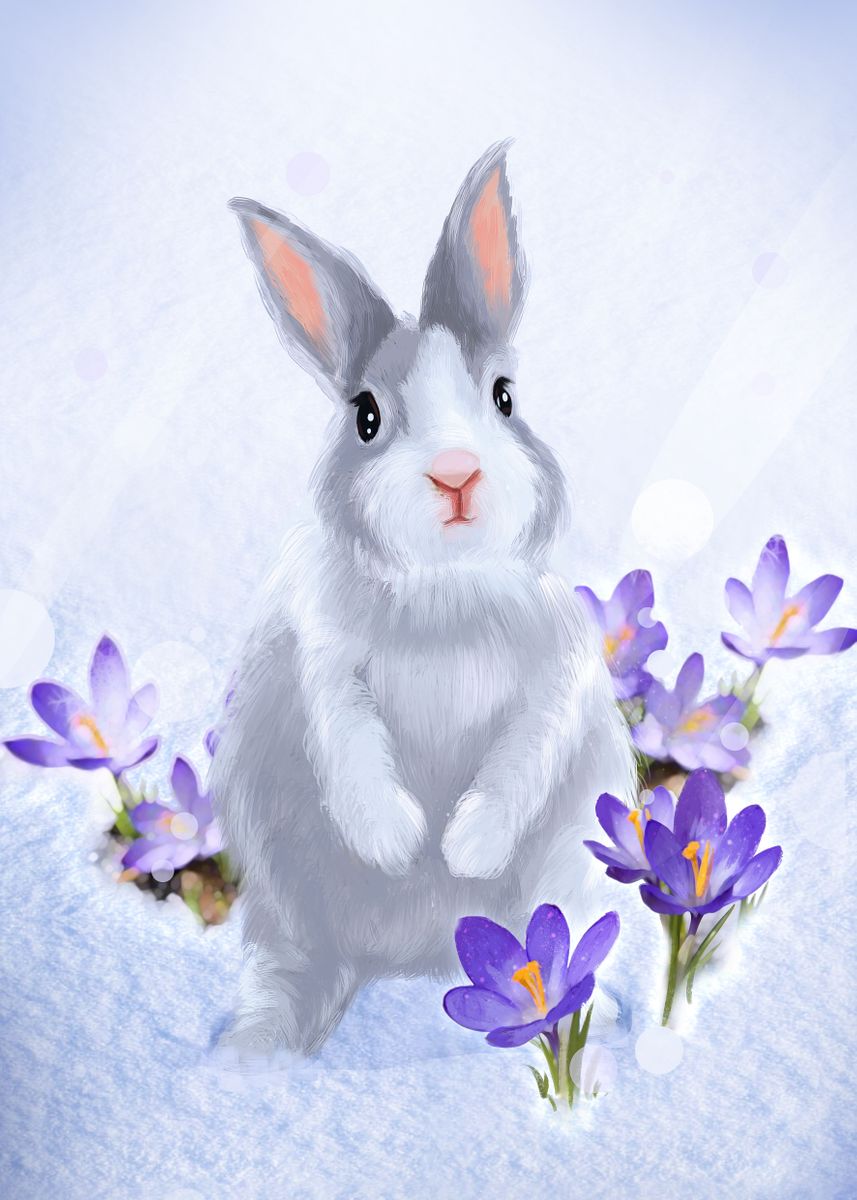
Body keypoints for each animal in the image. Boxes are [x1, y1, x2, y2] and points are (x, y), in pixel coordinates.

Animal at [208, 141, 635, 1065]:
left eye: (504, 397)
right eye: (365, 416)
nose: (455, 474)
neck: (445, 591)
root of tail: (412, 959)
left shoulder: (558, 666)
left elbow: (526, 748)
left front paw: (465, 846)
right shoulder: (325, 661)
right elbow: (350, 743)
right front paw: (397, 841)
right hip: (286, 898)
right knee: (293, 970)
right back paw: (251, 1054)